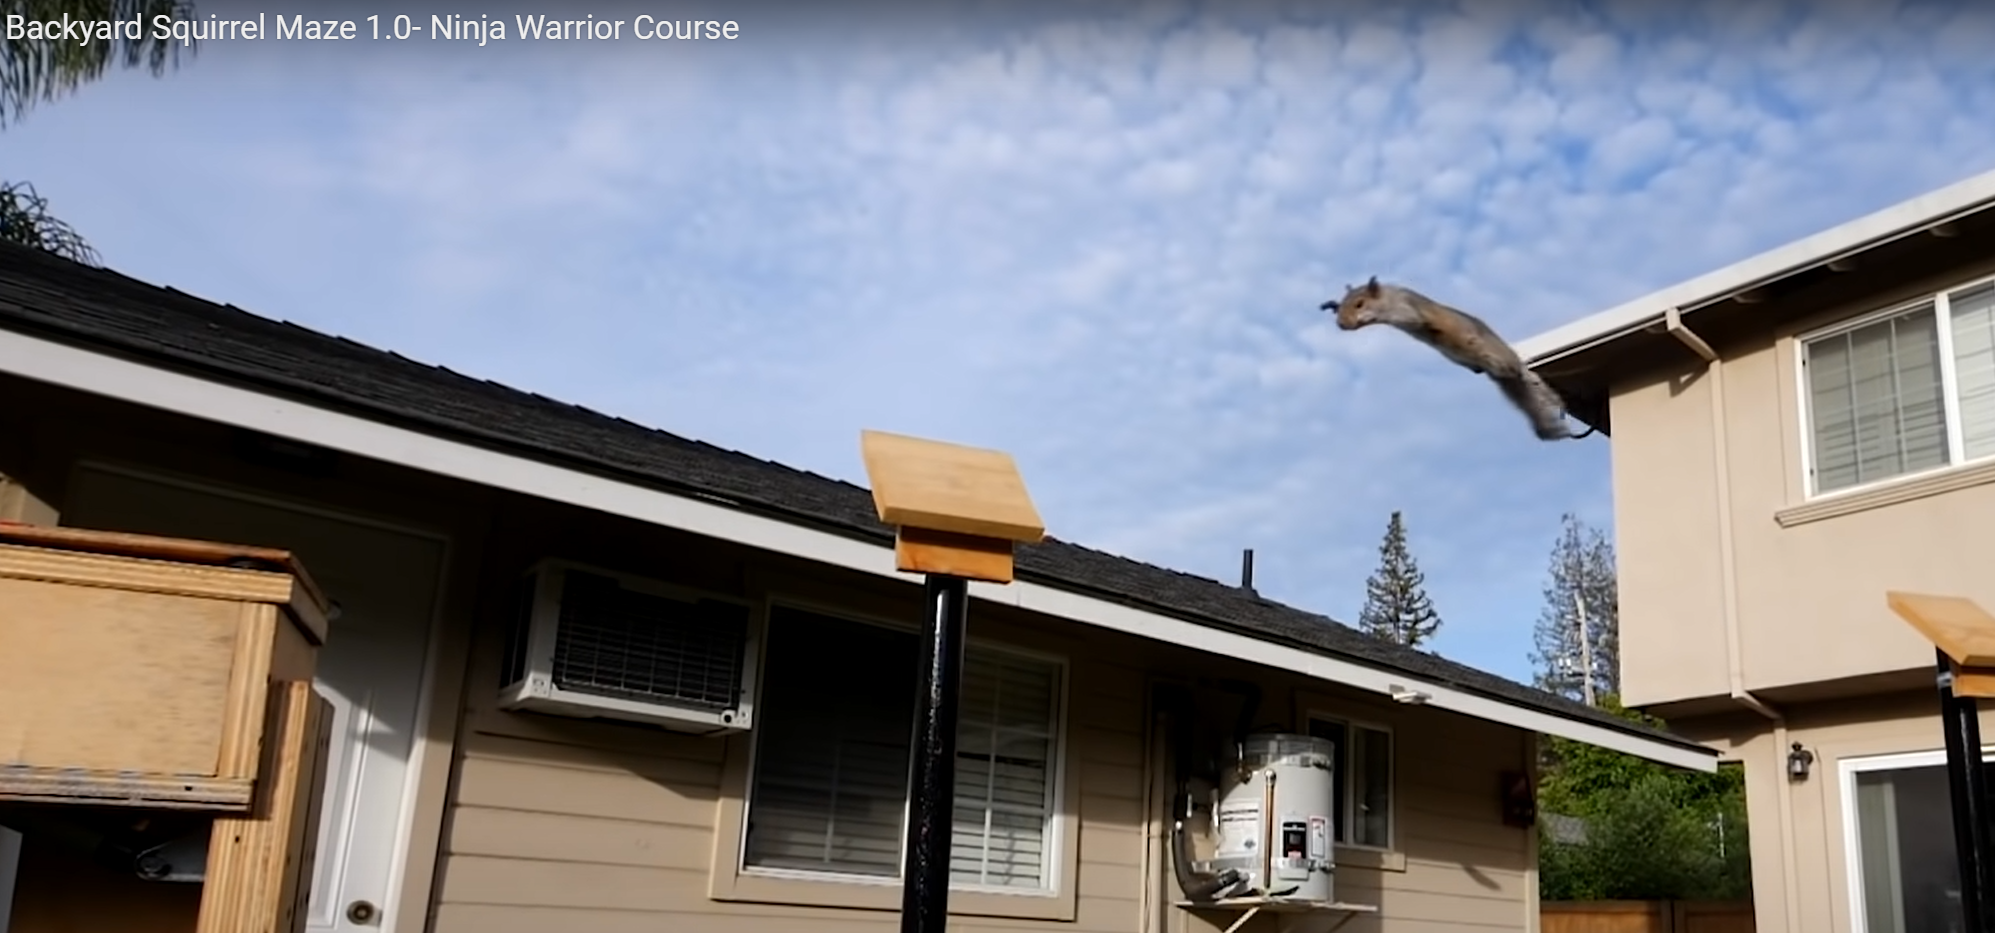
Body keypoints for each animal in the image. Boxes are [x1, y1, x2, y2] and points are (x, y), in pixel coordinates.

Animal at [1320, 276, 1597, 441]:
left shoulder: (1407, 309)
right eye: (1344, 305)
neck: (1389, 297)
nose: (1342, 324)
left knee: (1525, 377)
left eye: (1360, 304)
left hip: (1499, 356)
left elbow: (1410, 318)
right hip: (1503, 380)